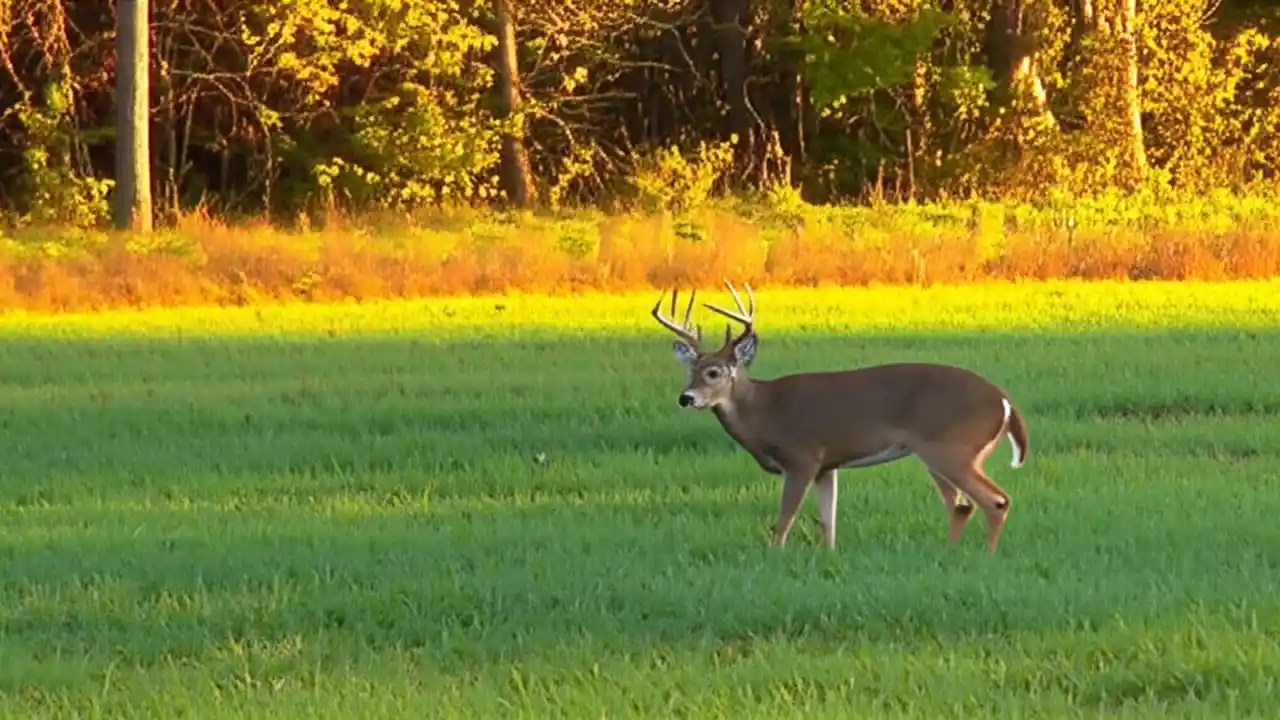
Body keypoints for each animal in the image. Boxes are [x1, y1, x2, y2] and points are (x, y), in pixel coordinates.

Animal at [650, 280, 1029, 554]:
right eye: (691, 371)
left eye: (714, 373)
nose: (686, 398)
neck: (763, 413)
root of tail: (1005, 402)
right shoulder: (827, 465)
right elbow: (827, 520)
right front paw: (828, 556)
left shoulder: (802, 456)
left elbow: (784, 519)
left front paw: (774, 557)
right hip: (942, 454)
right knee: (962, 506)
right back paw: (951, 553)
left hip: (951, 448)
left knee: (994, 501)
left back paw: (986, 556)